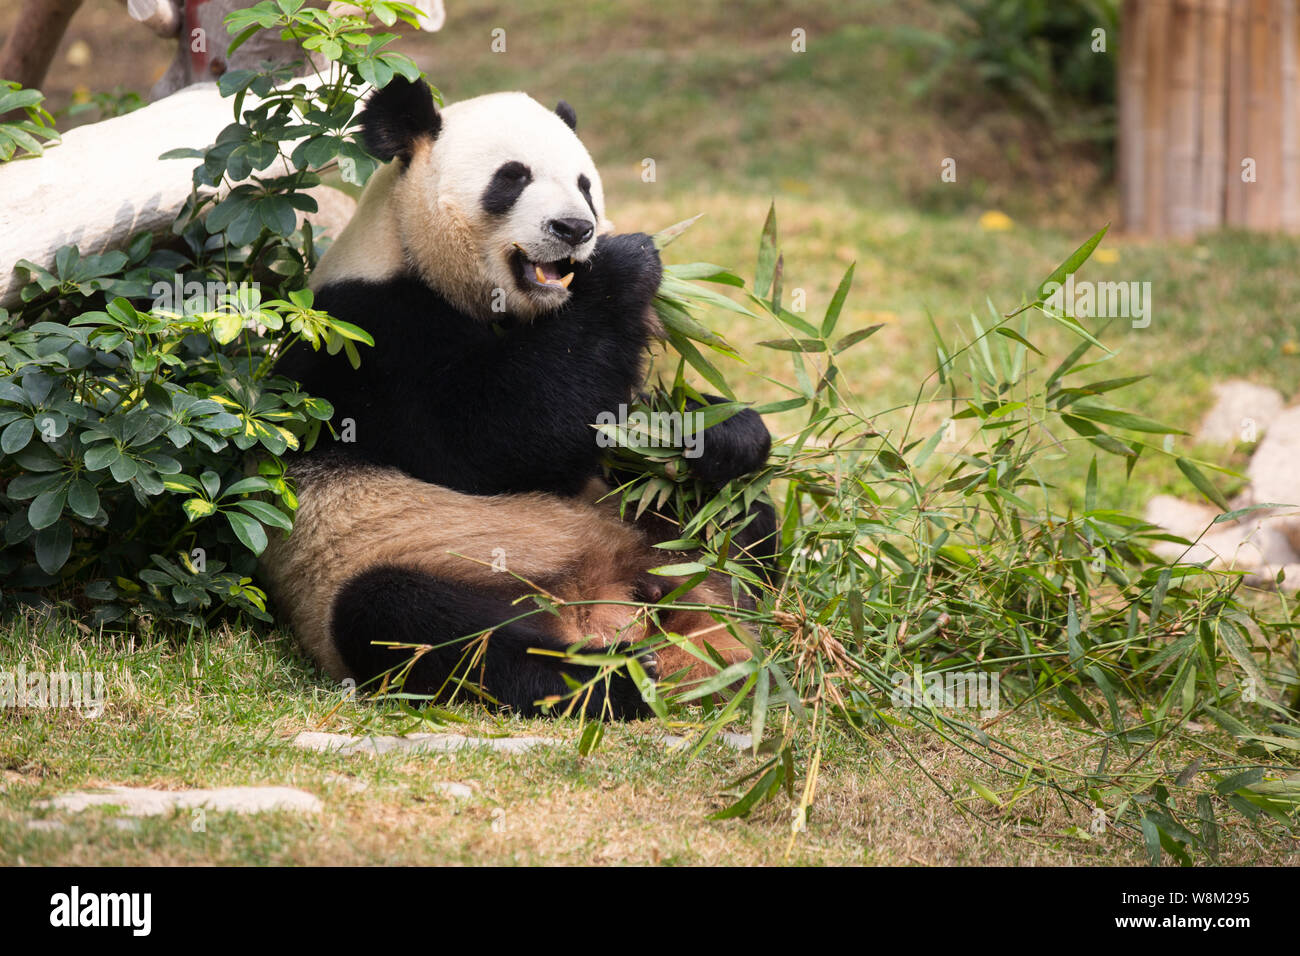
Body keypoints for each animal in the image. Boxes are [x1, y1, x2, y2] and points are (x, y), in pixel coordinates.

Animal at [261, 77, 777, 719]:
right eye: (512, 178)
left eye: (585, 185)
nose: (575, 229)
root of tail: (607, 605)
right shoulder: (364, 338)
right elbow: (489, 442)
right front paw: (626, 263)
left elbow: (613, 426)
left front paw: (721, 433)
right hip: (397, 562)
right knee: (418, 625)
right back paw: (612, 677)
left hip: (665, 538)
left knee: (739, 521)